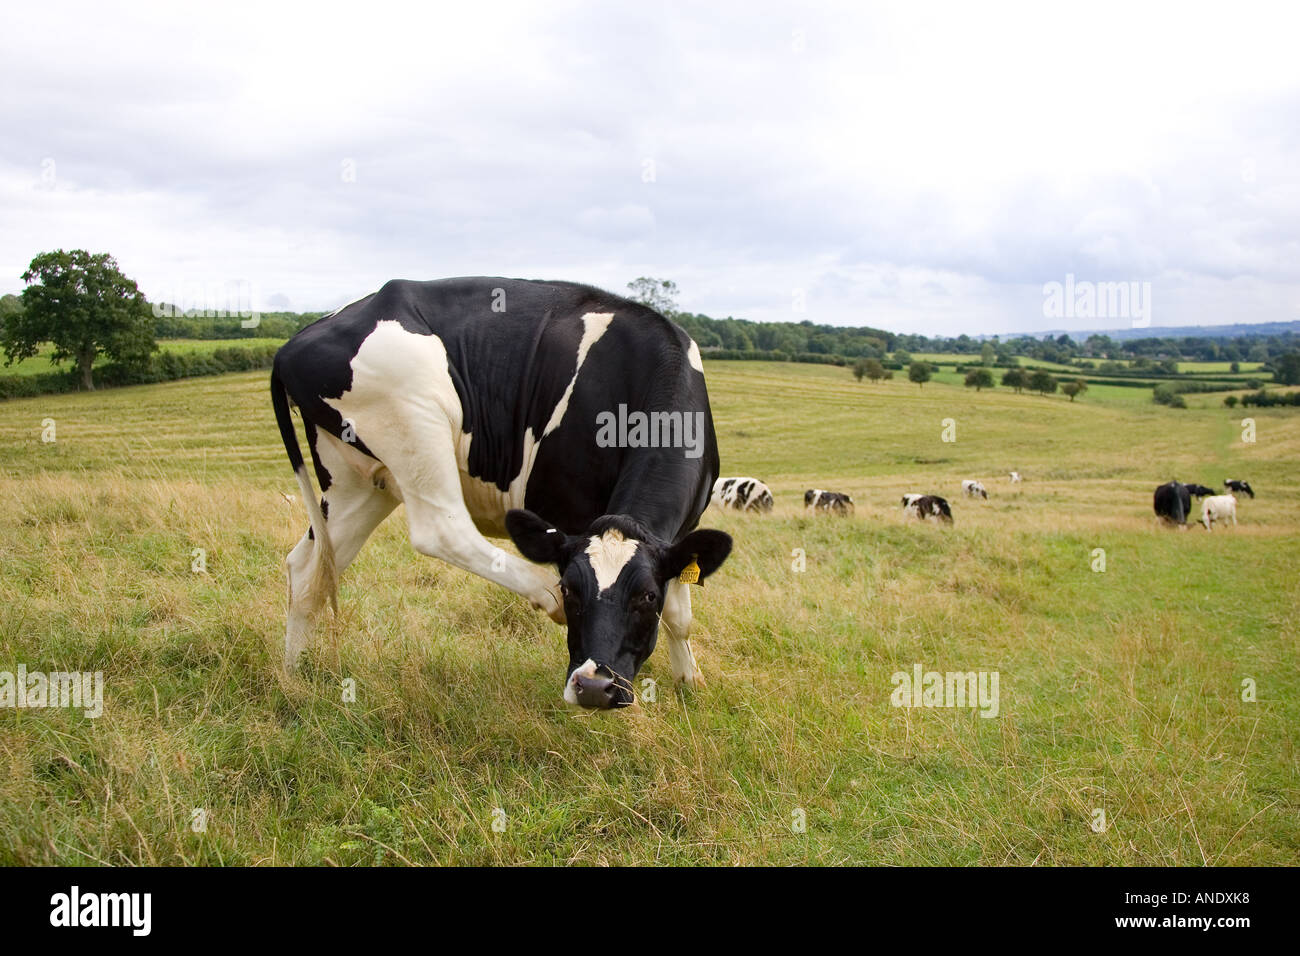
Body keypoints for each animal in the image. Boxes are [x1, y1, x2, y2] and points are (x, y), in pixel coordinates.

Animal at [270, 278, 733, 710]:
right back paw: (541, 592)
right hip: (415, 413)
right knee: (441, 529)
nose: (594, 687)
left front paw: (690, 683)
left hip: (357, 480)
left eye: (646, 596)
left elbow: (680, 615)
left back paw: (294, 679)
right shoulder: (561, 511)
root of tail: (293, 343)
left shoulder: (679, 535)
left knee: (309, 569)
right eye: (573, 588)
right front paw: (557, 598)